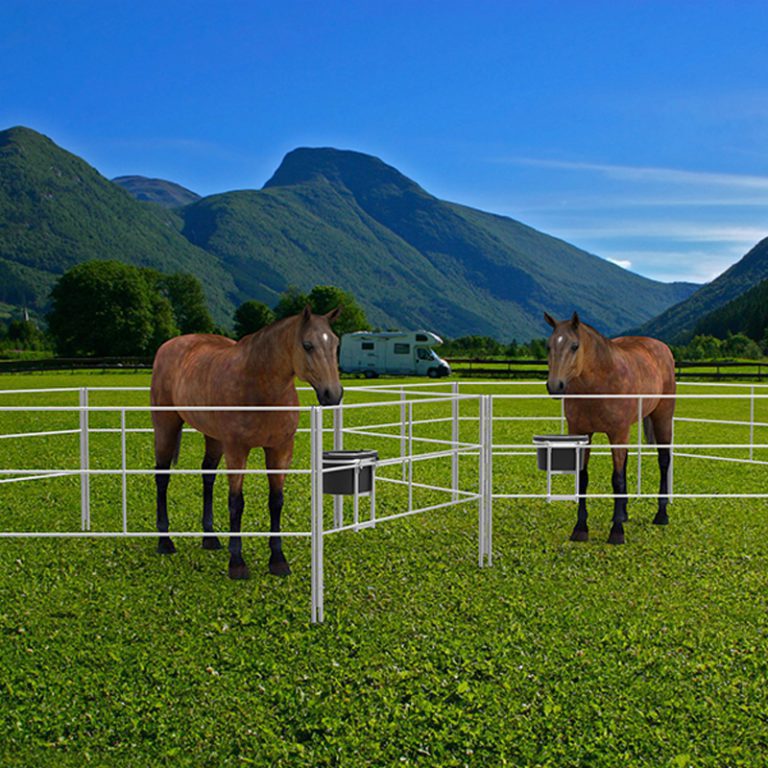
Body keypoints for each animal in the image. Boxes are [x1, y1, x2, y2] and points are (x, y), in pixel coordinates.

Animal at [150, 306, 343, 579]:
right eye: (307, 345)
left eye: (335, 343)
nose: (333, 394)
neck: (260, 386)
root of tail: (168, 346)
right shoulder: (237, 450)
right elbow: (236, 502)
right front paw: (237, 563)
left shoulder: (280, 449)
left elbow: (276, 501)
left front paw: (278, 560)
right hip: (166, 426)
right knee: (162, 477)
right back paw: (165, 541)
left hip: (213, 438)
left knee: (207, 476)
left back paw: (210, 538)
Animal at [543, 312, 676, 544]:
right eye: (549, 346)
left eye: (575, 346)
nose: (554, 386)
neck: (599, 385)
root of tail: (662, 348)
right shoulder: (582, 433)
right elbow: (583, 477)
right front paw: (580, 528)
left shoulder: (617, 433)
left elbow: (617, 479)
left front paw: (616, 532)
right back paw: (624, 513)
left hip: (662, 418)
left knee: (663, 460)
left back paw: (661, 515)